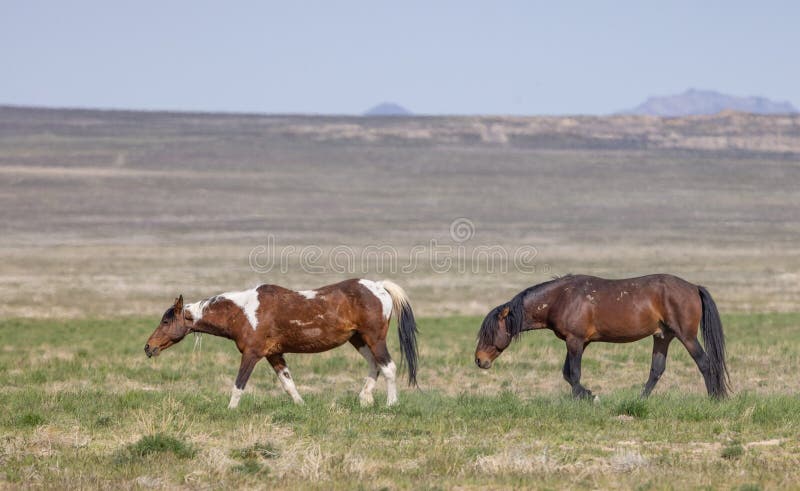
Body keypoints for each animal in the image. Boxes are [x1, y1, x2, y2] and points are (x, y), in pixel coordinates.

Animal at [144, 278, 418, 408]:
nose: (148, 347)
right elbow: (288, 384)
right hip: (358, 339)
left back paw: (390, 404)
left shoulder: (252, 354)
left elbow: (238, 385)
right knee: (375, 365)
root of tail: (378, 286)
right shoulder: (274, 355)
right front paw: (302, 406)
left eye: (166, 320)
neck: (243, 312)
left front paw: (230, 410)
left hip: (374, 338)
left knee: (388, 367)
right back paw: (365, 398)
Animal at [474, 274, 730, 399]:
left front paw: (588, 396)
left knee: (705, 363)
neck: (561, 298)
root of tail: (693, 287)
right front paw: (585, 395)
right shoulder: (579, 342)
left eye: (490, 332)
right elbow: (567, 374)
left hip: (686, 336)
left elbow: (574, 374)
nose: (479, 360)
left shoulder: (575, 341)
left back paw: (715, 397)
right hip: (662, 336)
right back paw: (640, 399)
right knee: (656, 370)